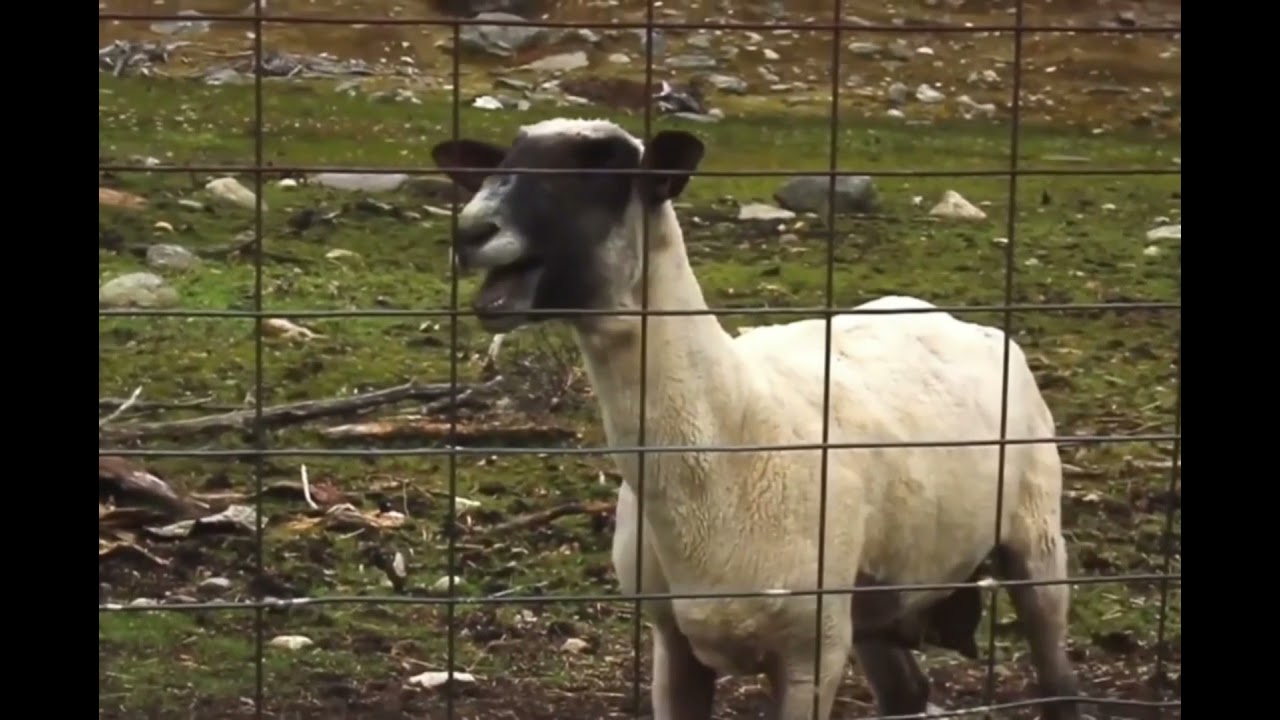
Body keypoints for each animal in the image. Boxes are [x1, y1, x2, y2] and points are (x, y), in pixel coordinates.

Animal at [432, 118, 1085, 720]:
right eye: (503, 160)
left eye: (604, 169)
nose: (471, 231)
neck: (728, 440)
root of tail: (952, 317)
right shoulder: (674, 644)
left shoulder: (811, 653)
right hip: (877, 595)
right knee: (906, 693)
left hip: (1034, 536)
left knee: (1060, 684)